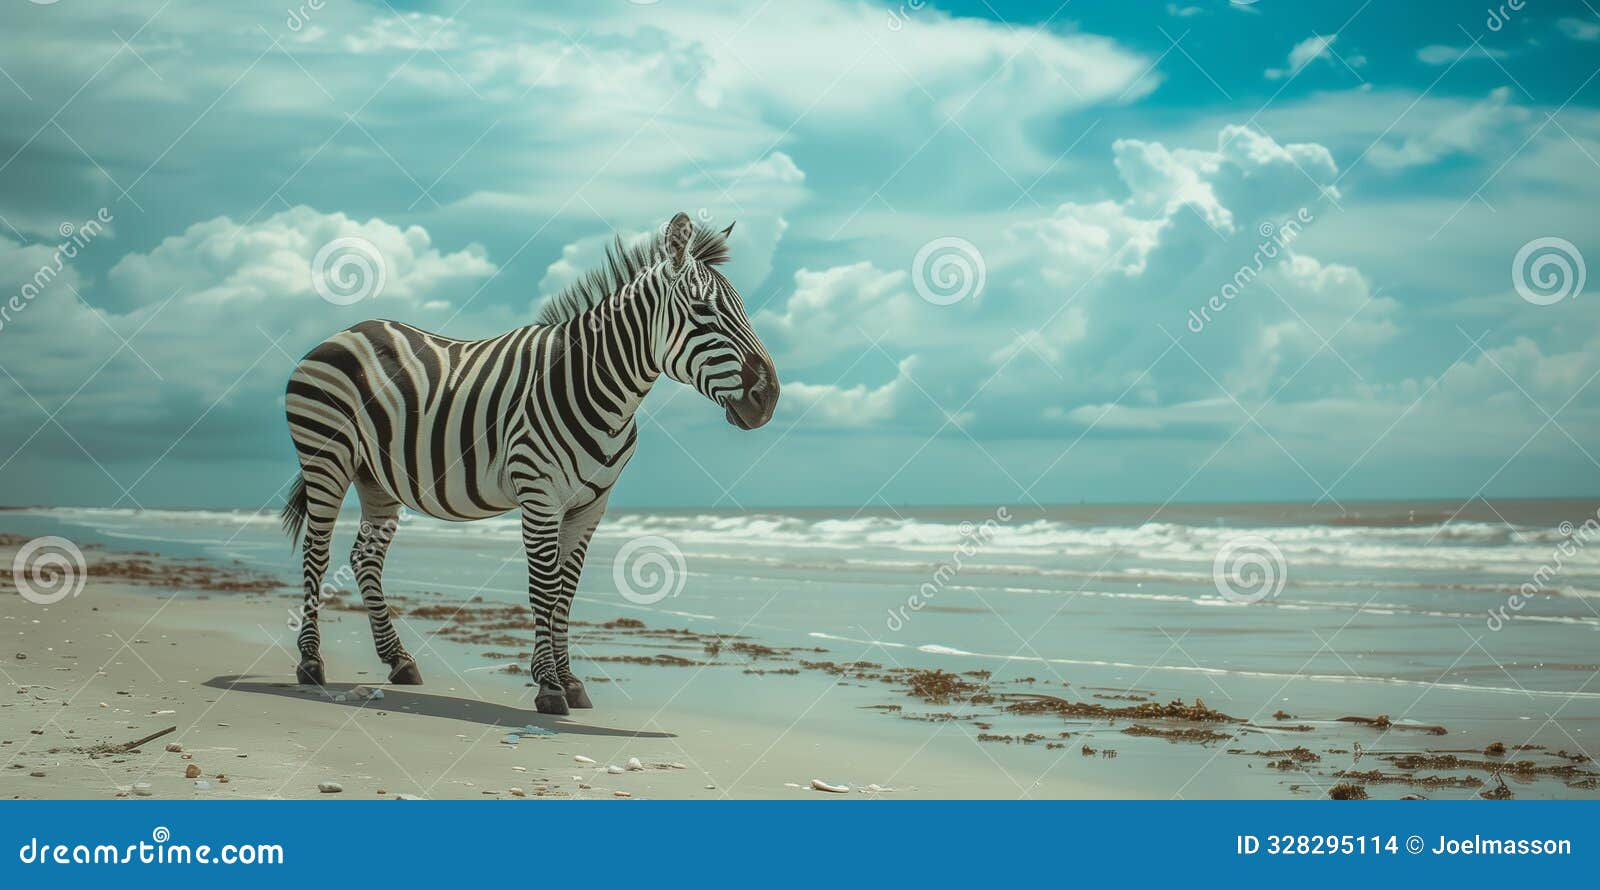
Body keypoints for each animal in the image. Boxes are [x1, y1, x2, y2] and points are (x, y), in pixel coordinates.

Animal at [279, 212, 778, 715]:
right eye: (704, 312)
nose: (770, 397)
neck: (597, 386)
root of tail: (345, 331)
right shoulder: (540, 493)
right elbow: (545, 585)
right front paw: (549, 686)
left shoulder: (591, 505)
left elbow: (567, 590)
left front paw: (570, 680)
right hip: (326, 454)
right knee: (316, 554)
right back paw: (310, 663)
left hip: (376, 477)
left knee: (365, 557)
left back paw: (399, 661)